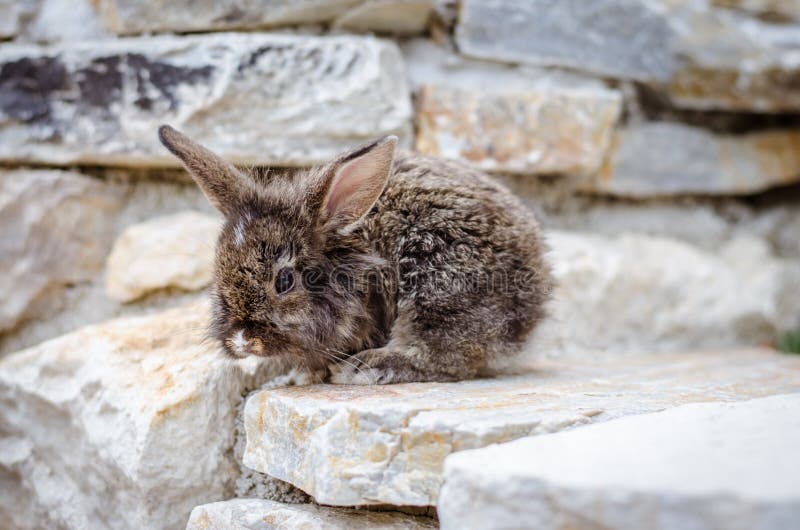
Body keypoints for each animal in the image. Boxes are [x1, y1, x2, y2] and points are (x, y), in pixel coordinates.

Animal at [158, 125, 553, 384]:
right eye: (217, 276)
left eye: (284, 281)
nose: (243, 341)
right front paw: (292, 377)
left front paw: (302, 377)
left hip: (438, 286)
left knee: (448, 357)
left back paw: (366, 367)